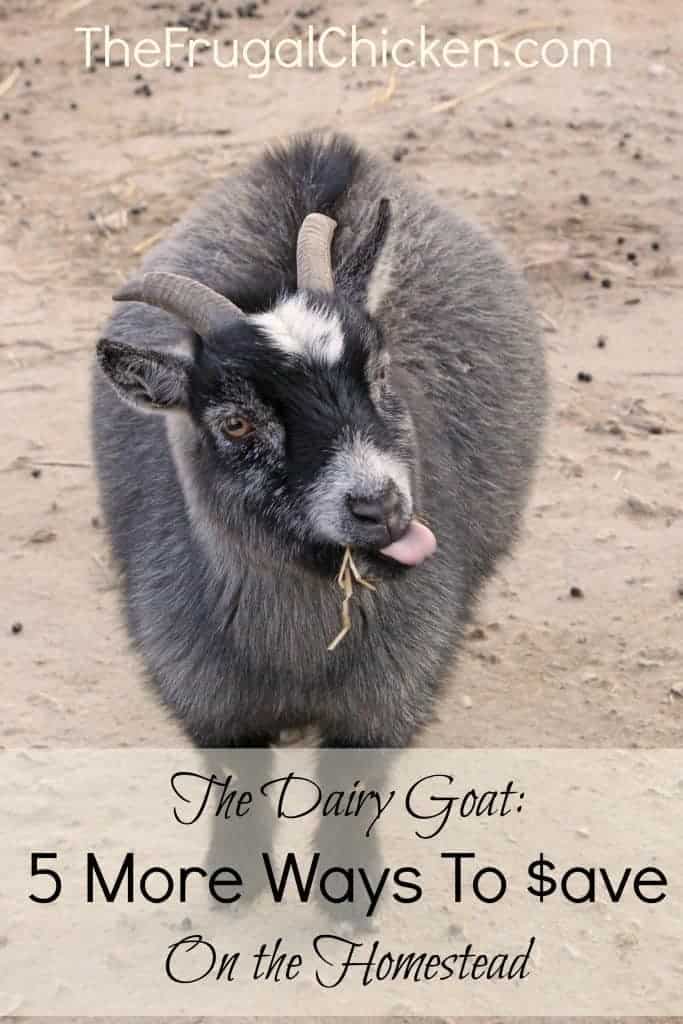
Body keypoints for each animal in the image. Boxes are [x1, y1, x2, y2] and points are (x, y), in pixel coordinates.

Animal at [93, 133, 546, 753]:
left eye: (381, 372)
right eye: (235, 423)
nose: (380, 507)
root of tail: (320, 153)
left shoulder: (381, 715)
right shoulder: (216, 720)